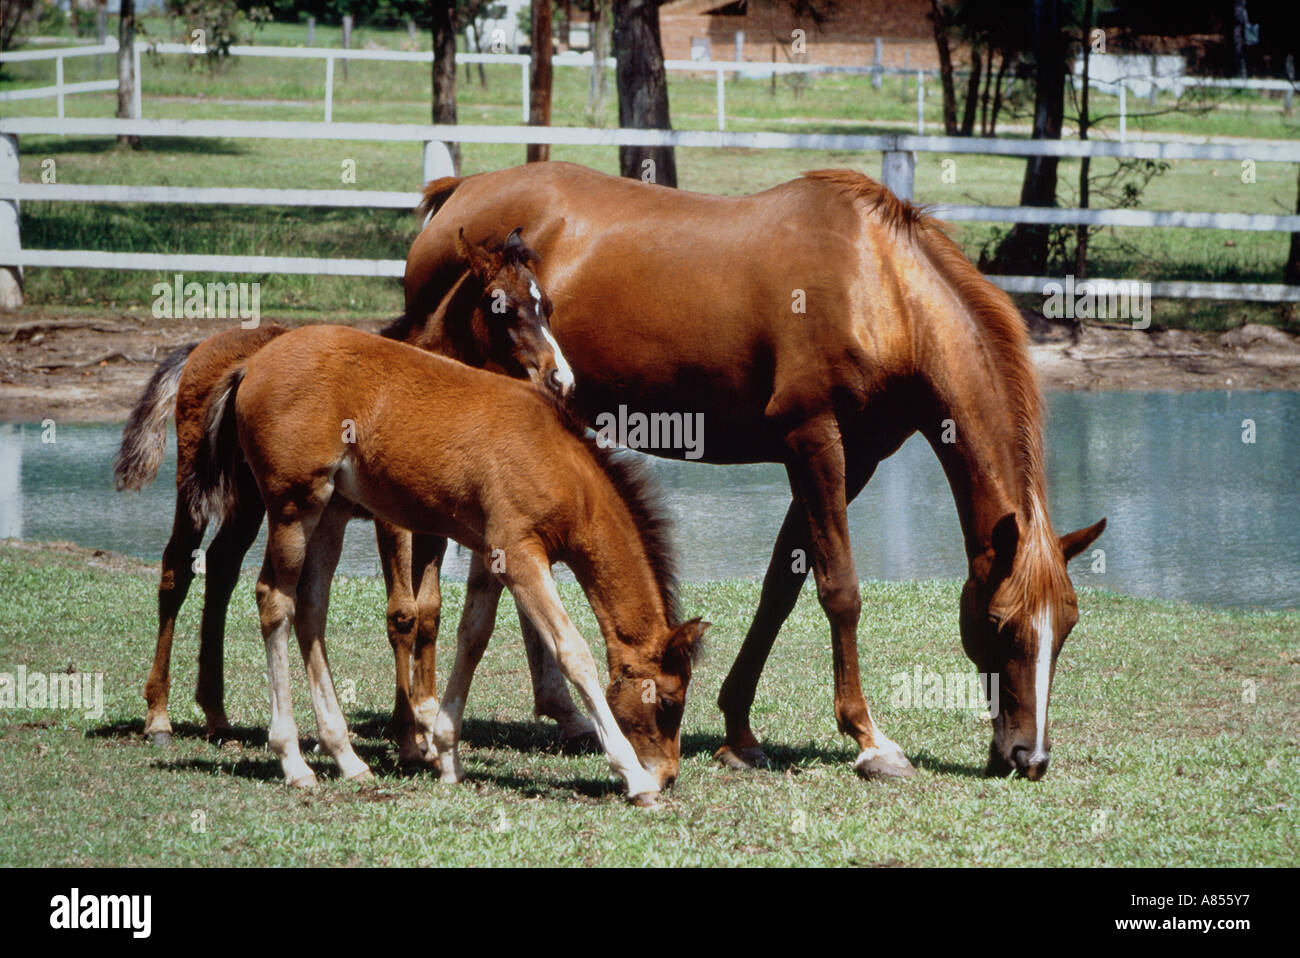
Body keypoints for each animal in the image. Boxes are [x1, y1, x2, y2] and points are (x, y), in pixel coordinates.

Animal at [114, 229, 592, 755]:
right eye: (498, 304)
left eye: (546, 305)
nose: (560, 379)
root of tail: (204, 344)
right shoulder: (391, 521)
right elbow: (402, 613)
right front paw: (407, 735)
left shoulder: (434, 525)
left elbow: (429, 611)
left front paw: (427, 725)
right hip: (198, 489)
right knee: (177, 568)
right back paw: (158, 716)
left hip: (257, 500)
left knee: (221, 568)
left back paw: (217, 714)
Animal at [189, 324, 706, 804]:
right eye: (668, 700)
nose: (669, 775)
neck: (560, 466)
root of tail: (251, 365)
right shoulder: (521, 554)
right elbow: (572, 651)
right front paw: (635, 777)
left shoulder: (492, 555)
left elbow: (472, 637)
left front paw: (447, 755)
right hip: (294, 506)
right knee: (274, 601)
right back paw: (294, 761)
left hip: (331, 511)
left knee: (311, 609)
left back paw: (347, 758)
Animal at [402, 161, 1107, 781]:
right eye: (1001, 624)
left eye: (1068, 625)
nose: (1029, 756)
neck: (880, 286)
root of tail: (460, 190)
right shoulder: (813, 440)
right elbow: (840, 590)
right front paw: (870, 740)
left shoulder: (852, 459)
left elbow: (782, 588)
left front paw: (739, 731)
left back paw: (565, 716)